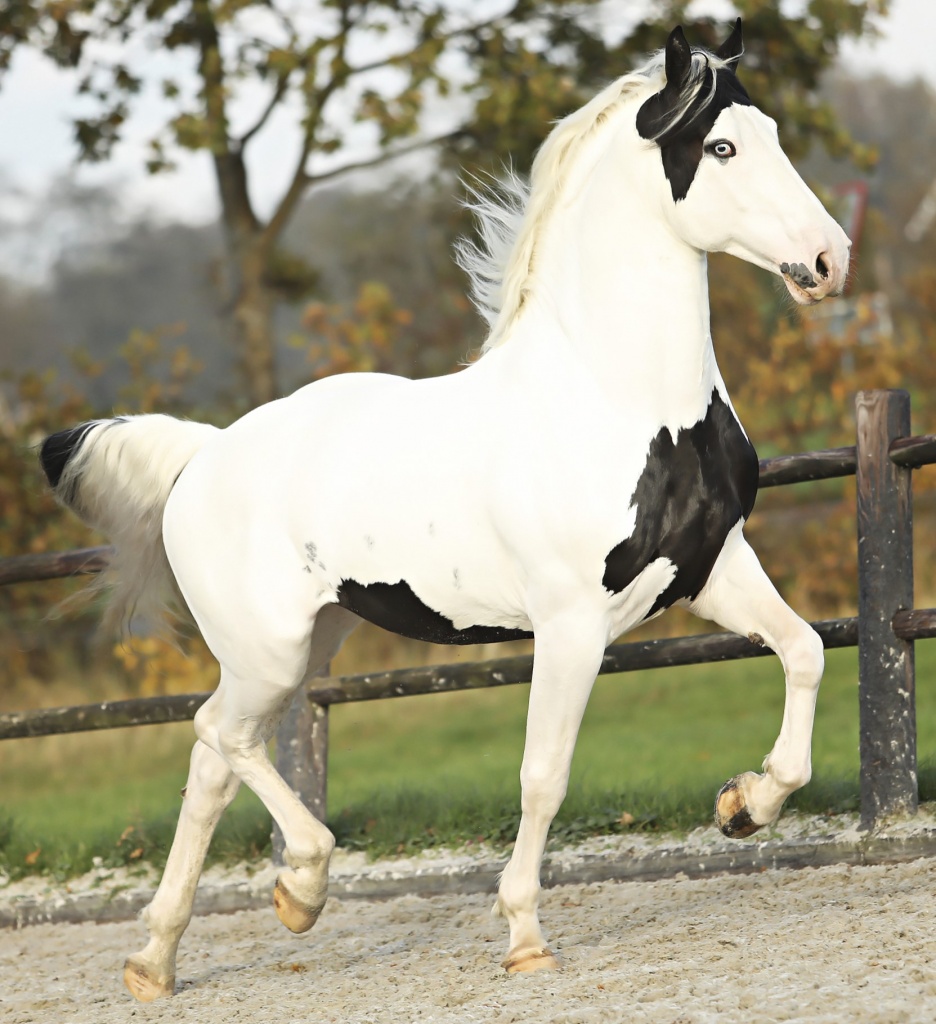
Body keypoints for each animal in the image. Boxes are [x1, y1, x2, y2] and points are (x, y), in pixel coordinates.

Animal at [40, 20, 849, 1000]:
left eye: (772, 134)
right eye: (722, 147)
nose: (828, 261)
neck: (618, 398)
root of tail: (203, 455)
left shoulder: (711, 570)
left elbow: (805, 652)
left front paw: (745, 805)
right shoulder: (571, 623)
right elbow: (544, 774)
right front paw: (526, 936)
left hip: (310, 641)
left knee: (211, 759)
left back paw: (159, 957)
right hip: (268, 650)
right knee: (215, 736)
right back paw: (298, 885)